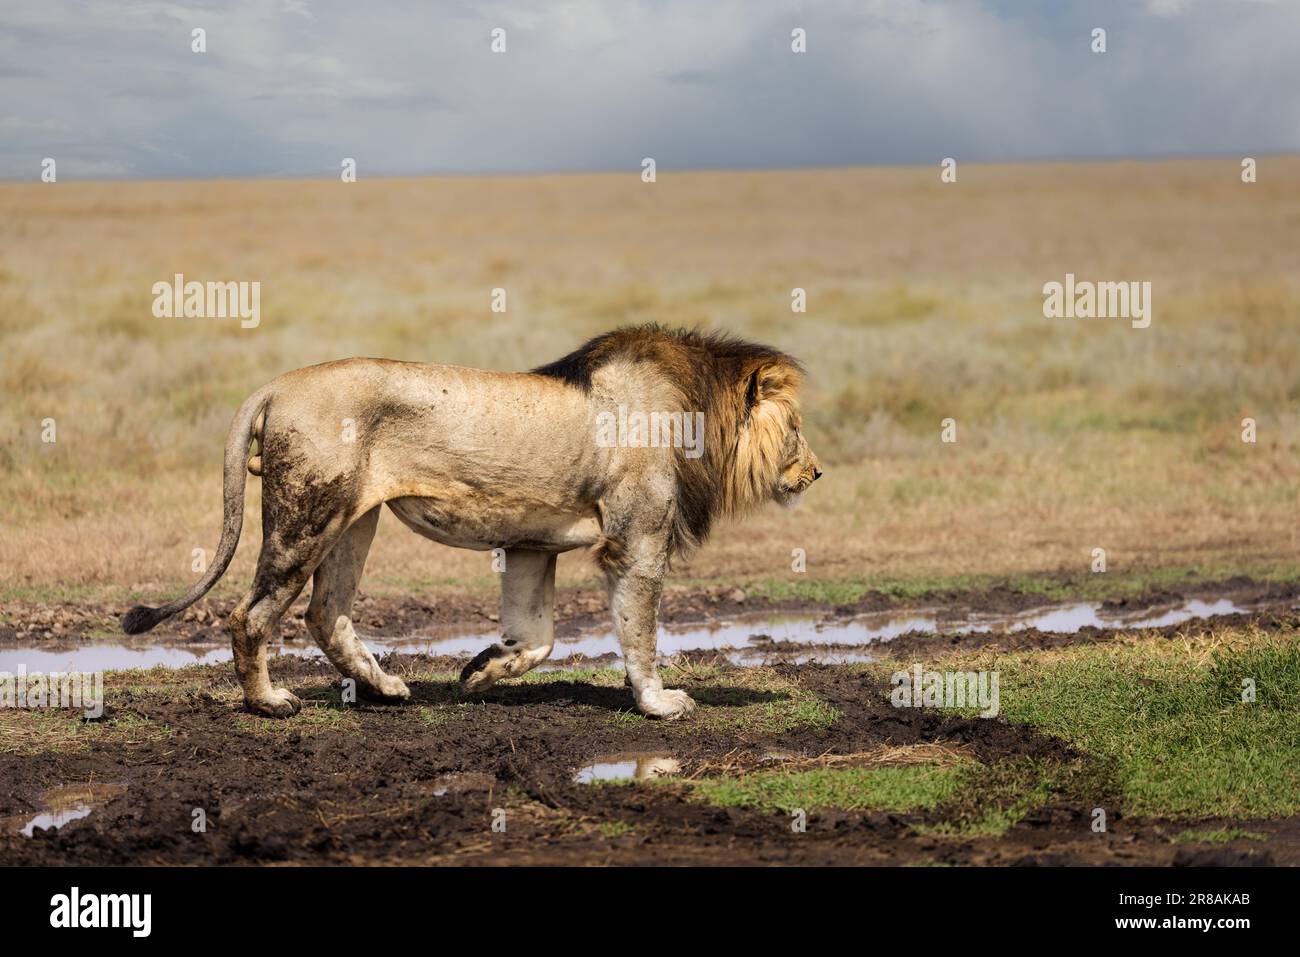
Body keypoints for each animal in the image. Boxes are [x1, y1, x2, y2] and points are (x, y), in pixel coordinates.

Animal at [122, 324, 822, 720]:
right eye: (795, 426)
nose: (815, 473)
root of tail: (274, 385)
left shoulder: (533, 545)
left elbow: (538, 637)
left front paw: (481, 672)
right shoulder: (636, 540)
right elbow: (640, 633)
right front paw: (660, 704)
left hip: (354, 520)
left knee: (326, 613)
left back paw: (387, 688)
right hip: (308, 519)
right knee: (252, 615)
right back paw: (269, 704)